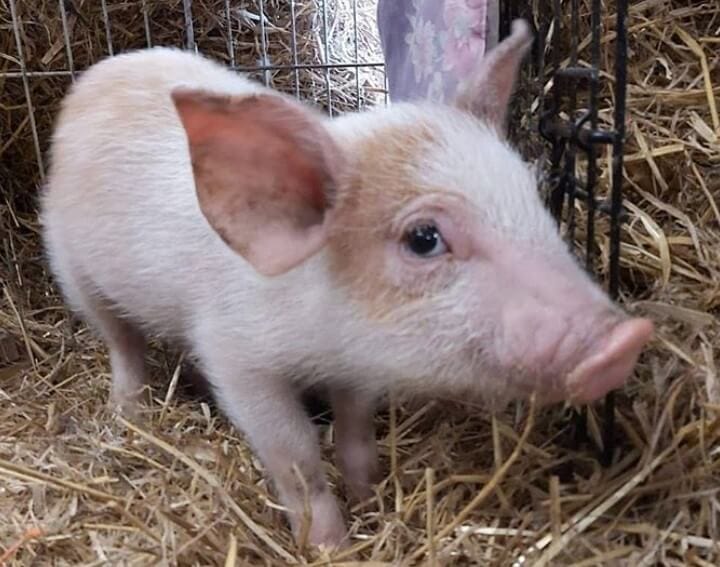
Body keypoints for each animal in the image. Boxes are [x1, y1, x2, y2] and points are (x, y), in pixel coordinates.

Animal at [40, 19, 653, 549]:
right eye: (424, 238)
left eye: (533, 195)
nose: (625, 340)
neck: (325, 340)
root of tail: (93, 77)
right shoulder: (235, 355)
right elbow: (297, 456)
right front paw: (331, 546)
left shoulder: (357, 366)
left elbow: (356, 434)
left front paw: (372, 500)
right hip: (70, 264)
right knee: (121, 340)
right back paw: (131, 413)